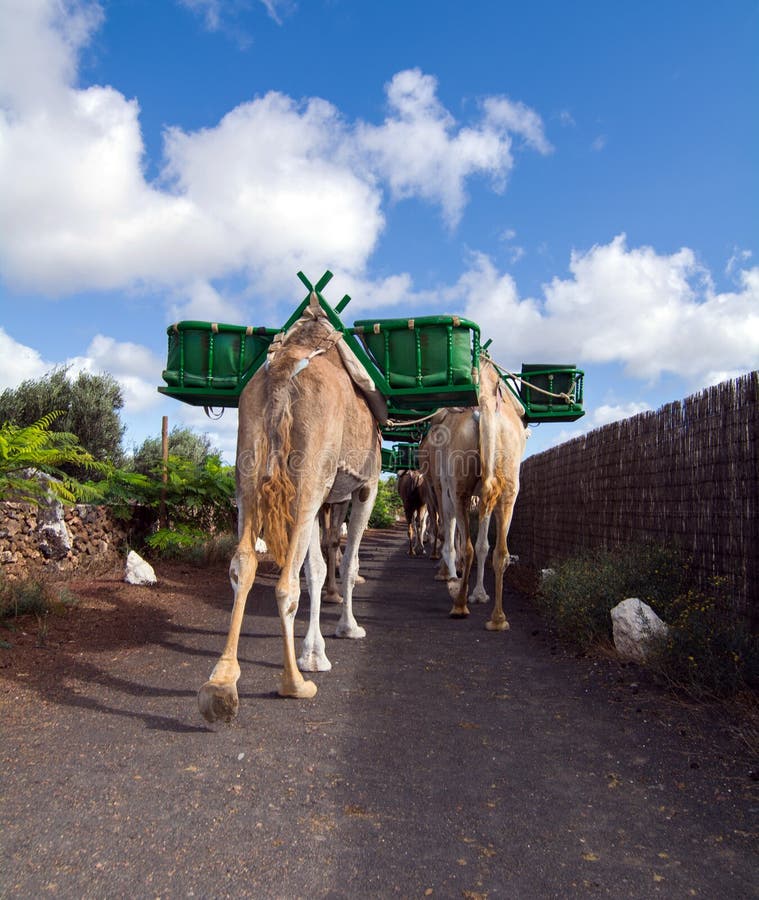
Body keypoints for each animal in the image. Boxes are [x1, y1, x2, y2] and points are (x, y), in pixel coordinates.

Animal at [198, 296, 382, 723]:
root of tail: (282, 373)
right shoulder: (366, 486)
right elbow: (346, 565)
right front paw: (346, 631)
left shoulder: (322, 498)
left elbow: (317, 568)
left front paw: (315, 653)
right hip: (309, 476)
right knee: (285, 583)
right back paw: (294, 684)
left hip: (248, 470)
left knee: (243, 563)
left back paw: (221, 684)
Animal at [428, 359, 528, 630]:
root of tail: (484, 407)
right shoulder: (482, 492)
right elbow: (484, 544)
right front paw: (480, 594)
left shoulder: (446, 486)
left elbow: (450, 532)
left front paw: (450, 576)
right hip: (508, 485)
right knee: (500, 551)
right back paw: (498, 619)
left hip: (458, 486)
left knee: (467, 545)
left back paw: (459, 605)